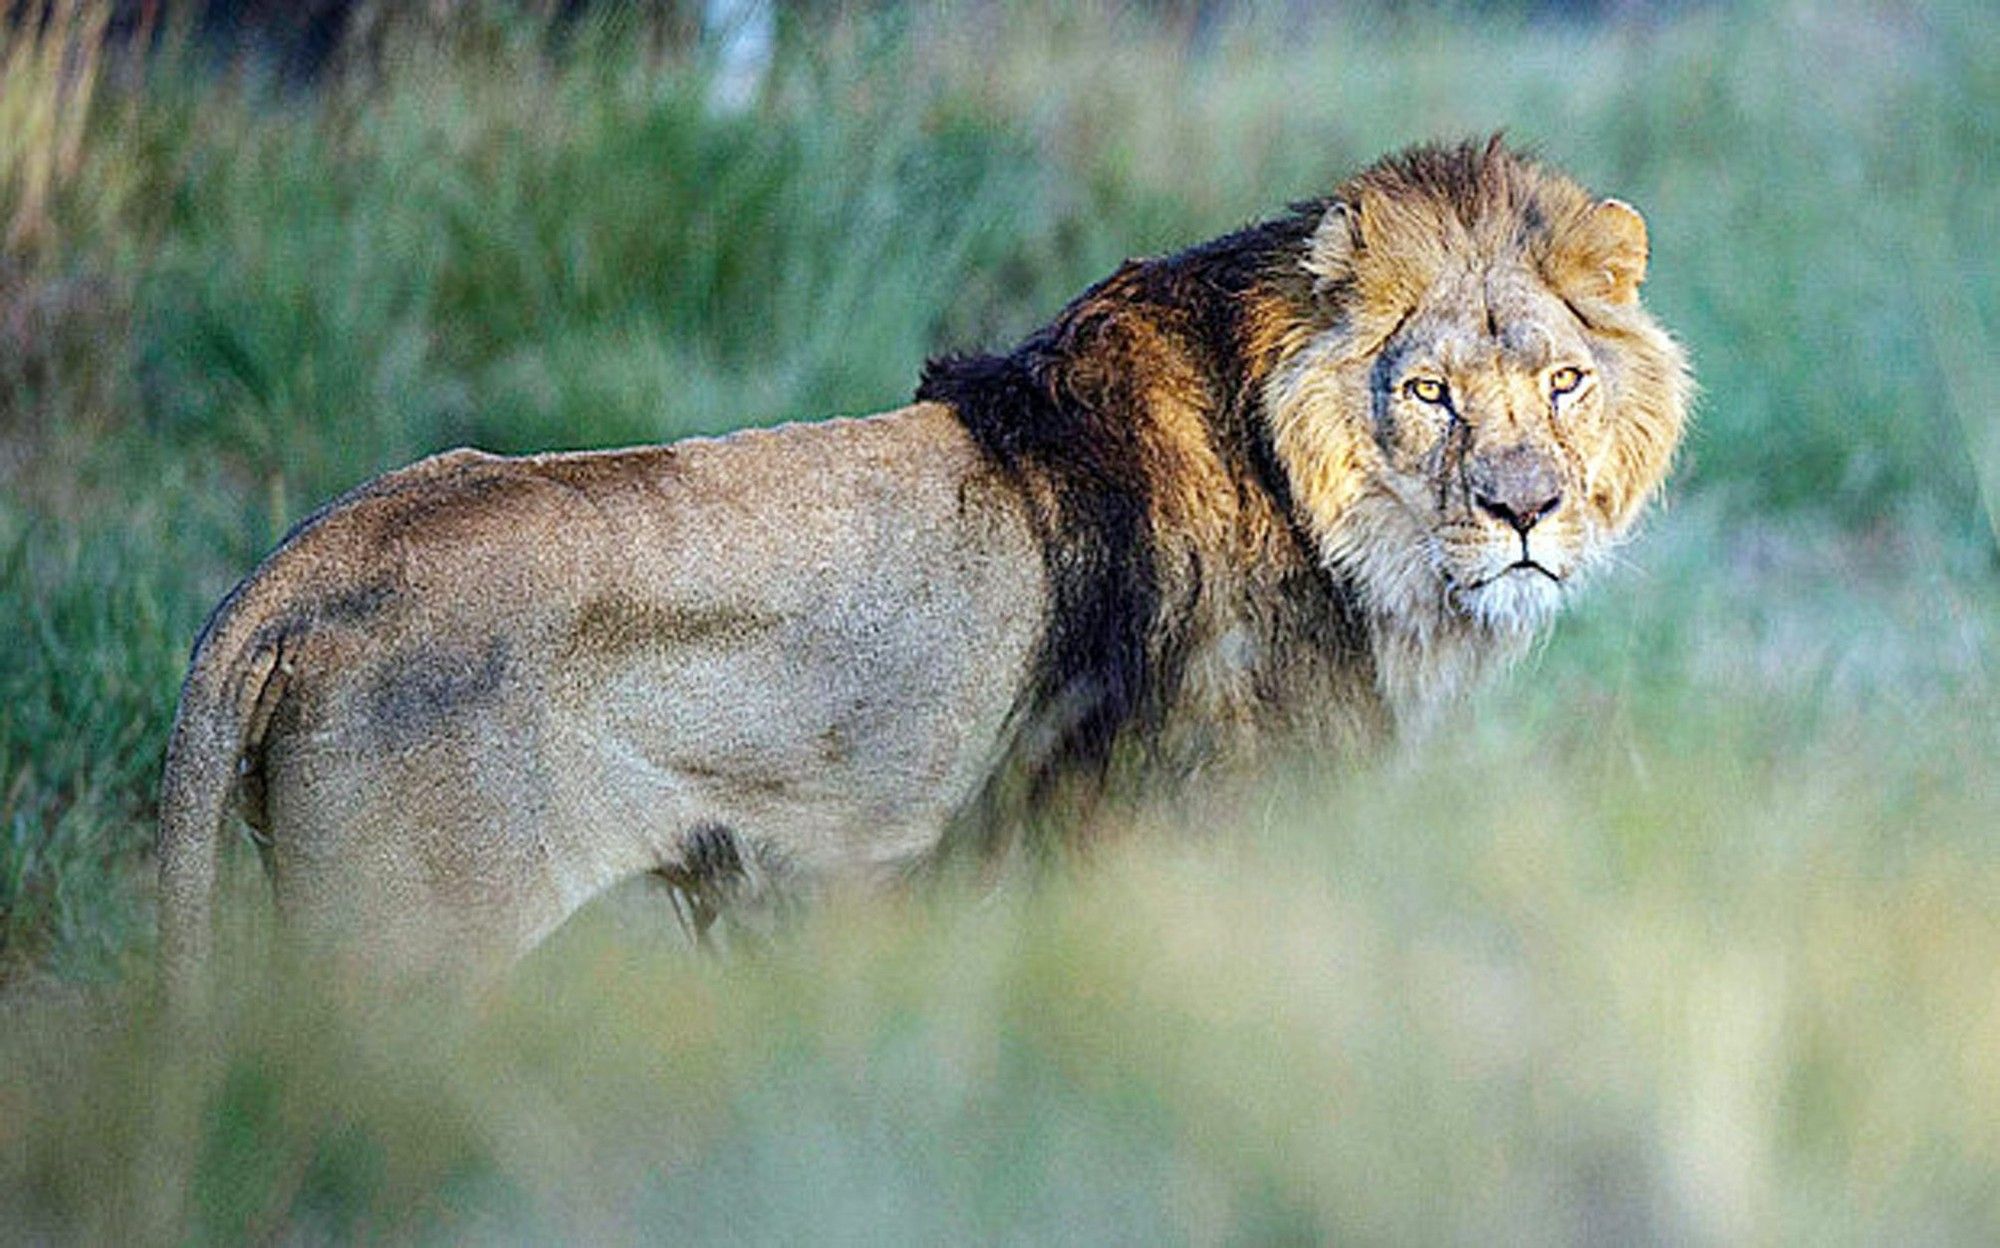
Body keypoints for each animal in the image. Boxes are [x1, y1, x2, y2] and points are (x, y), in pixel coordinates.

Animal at [157, 138, 1689, 988]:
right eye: (1427, 394)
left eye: (1562, 384)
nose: (1525, 510)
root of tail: (303, 567)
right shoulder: (1180, 846)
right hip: (398, 957)